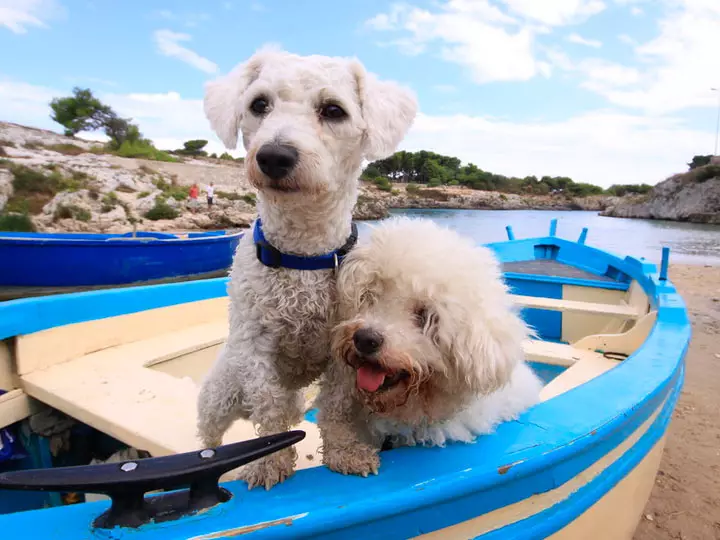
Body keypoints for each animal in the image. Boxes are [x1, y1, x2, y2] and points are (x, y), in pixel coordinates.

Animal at [197, 48, 420, 490]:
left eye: (333, 110)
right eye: (258, 105)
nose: (273, 156)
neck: (302, 257)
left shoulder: (344, 346)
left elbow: (334, 406)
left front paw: (343, 452)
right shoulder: (257, 348)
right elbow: (268, 409)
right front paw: (270, 463)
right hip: (218, 396)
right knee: (211, 434)